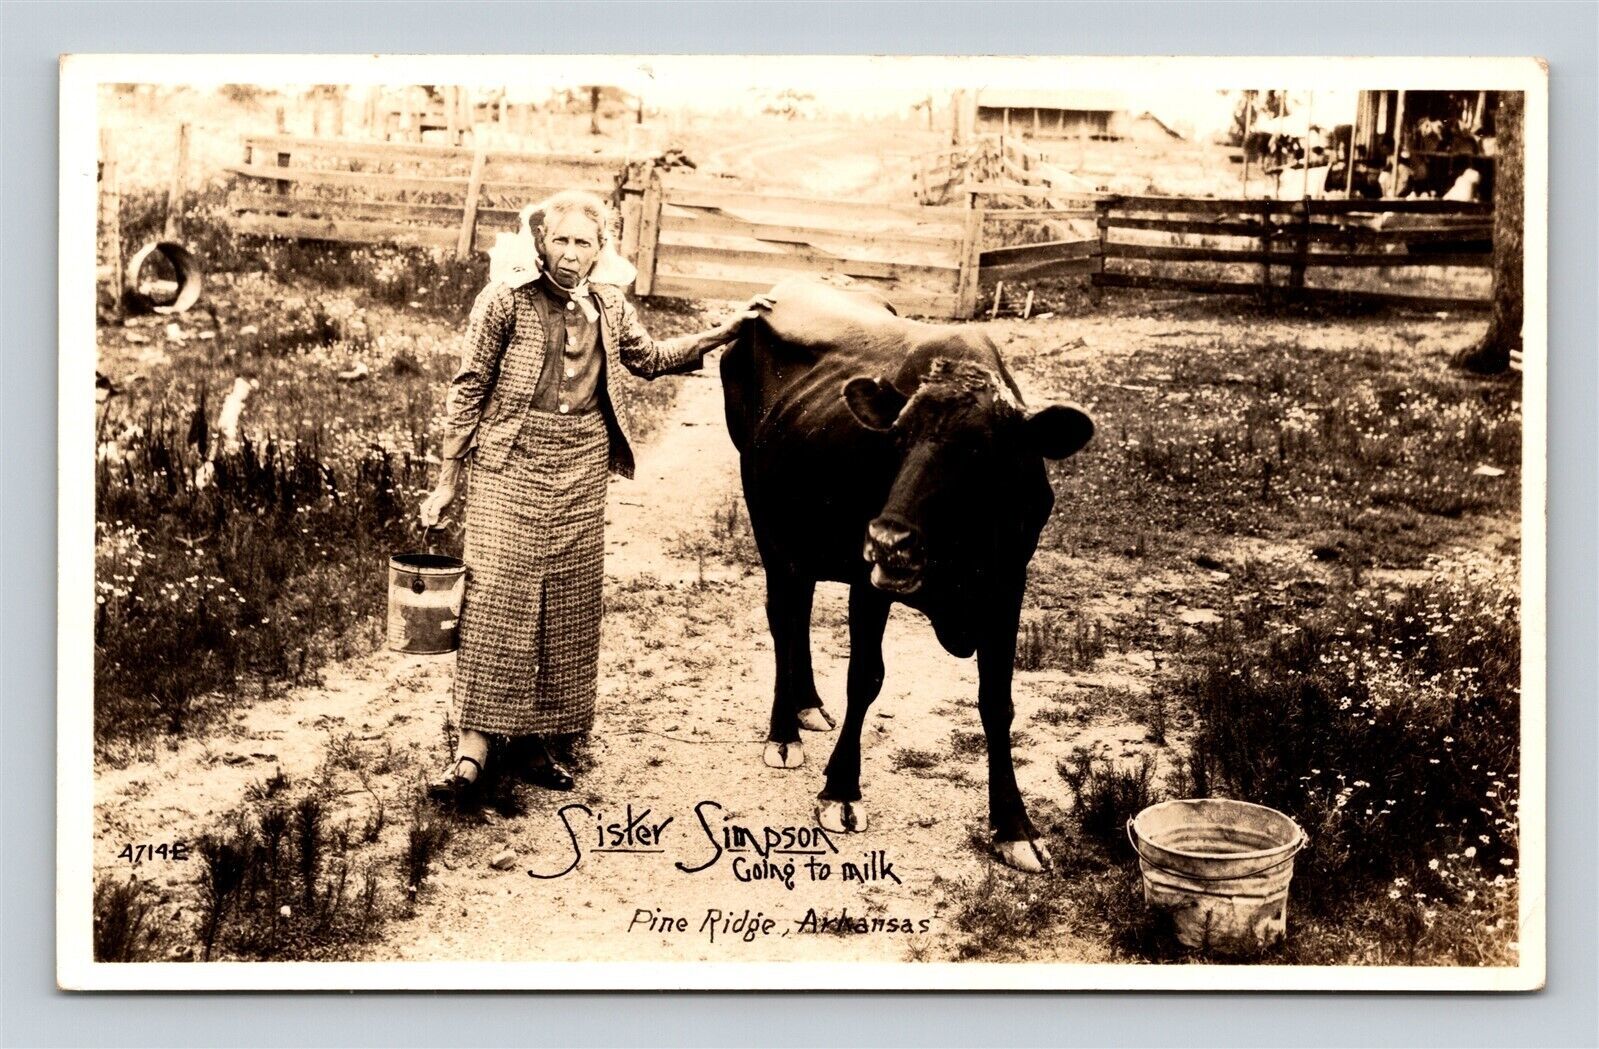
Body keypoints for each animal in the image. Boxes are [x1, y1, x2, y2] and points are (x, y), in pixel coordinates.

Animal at [718, 278, 1094, 872]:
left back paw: (807, 705)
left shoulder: (1009, 581)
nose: (888, 539)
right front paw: (841, 791)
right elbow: (864, 678)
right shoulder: (868, 581)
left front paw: (1014, 826)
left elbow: (997, 700)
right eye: (895, 441)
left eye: (980, 451)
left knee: (798, 616)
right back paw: (783, 731)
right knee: (784, 617)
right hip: (771, 526)